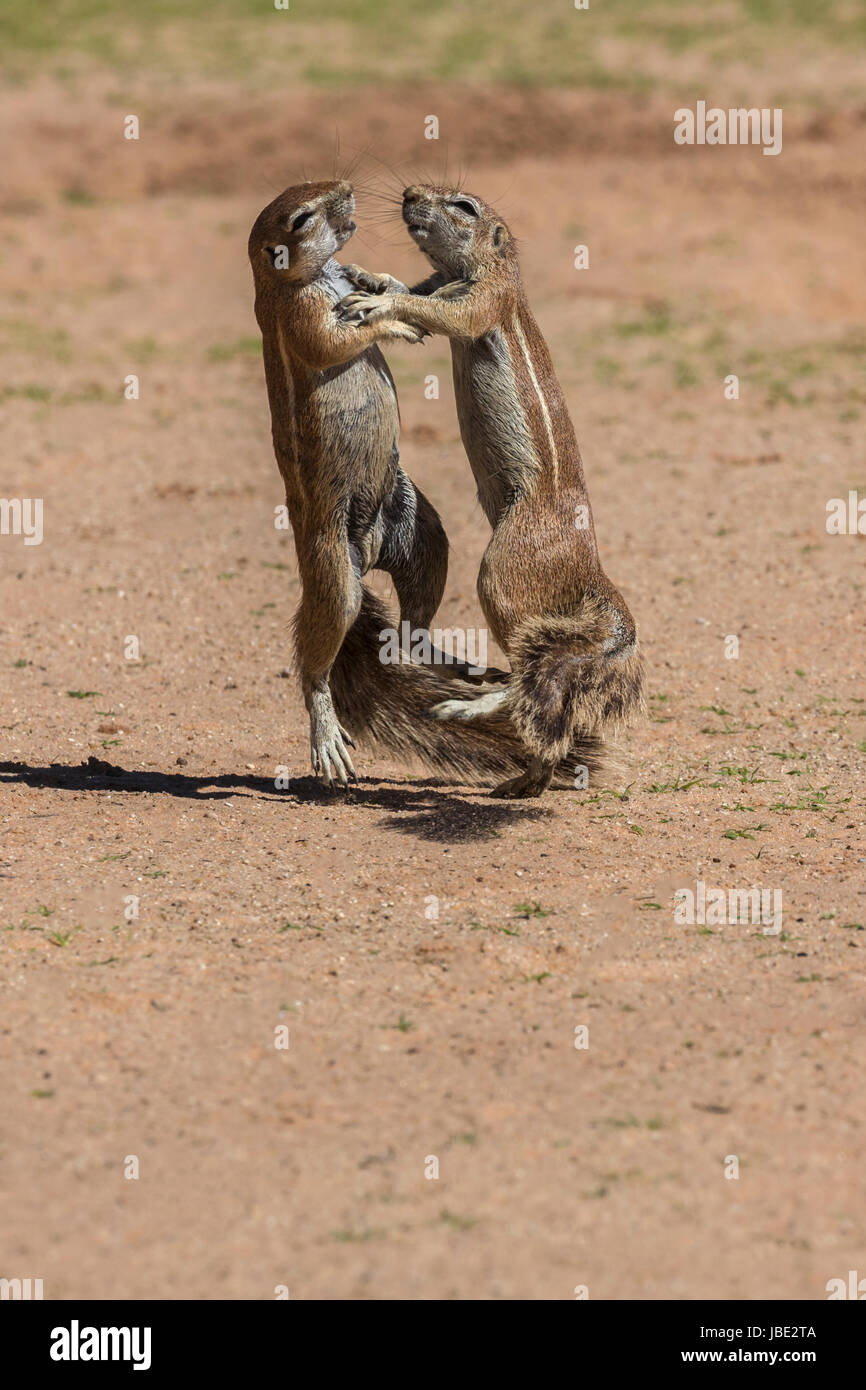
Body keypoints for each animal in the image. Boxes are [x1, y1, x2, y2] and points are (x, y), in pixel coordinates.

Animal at [338, 183, 644, 798]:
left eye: (463, 206)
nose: (409, 192)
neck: (482, 266)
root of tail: (593, 574)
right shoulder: (437, 281)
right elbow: (410, 287)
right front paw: (367, 275)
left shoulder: (483, 301)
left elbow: (436, 312)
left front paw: (376, 305)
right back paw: (525, 781)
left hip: (501, 572)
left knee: (526, 675)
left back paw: (468, 708)